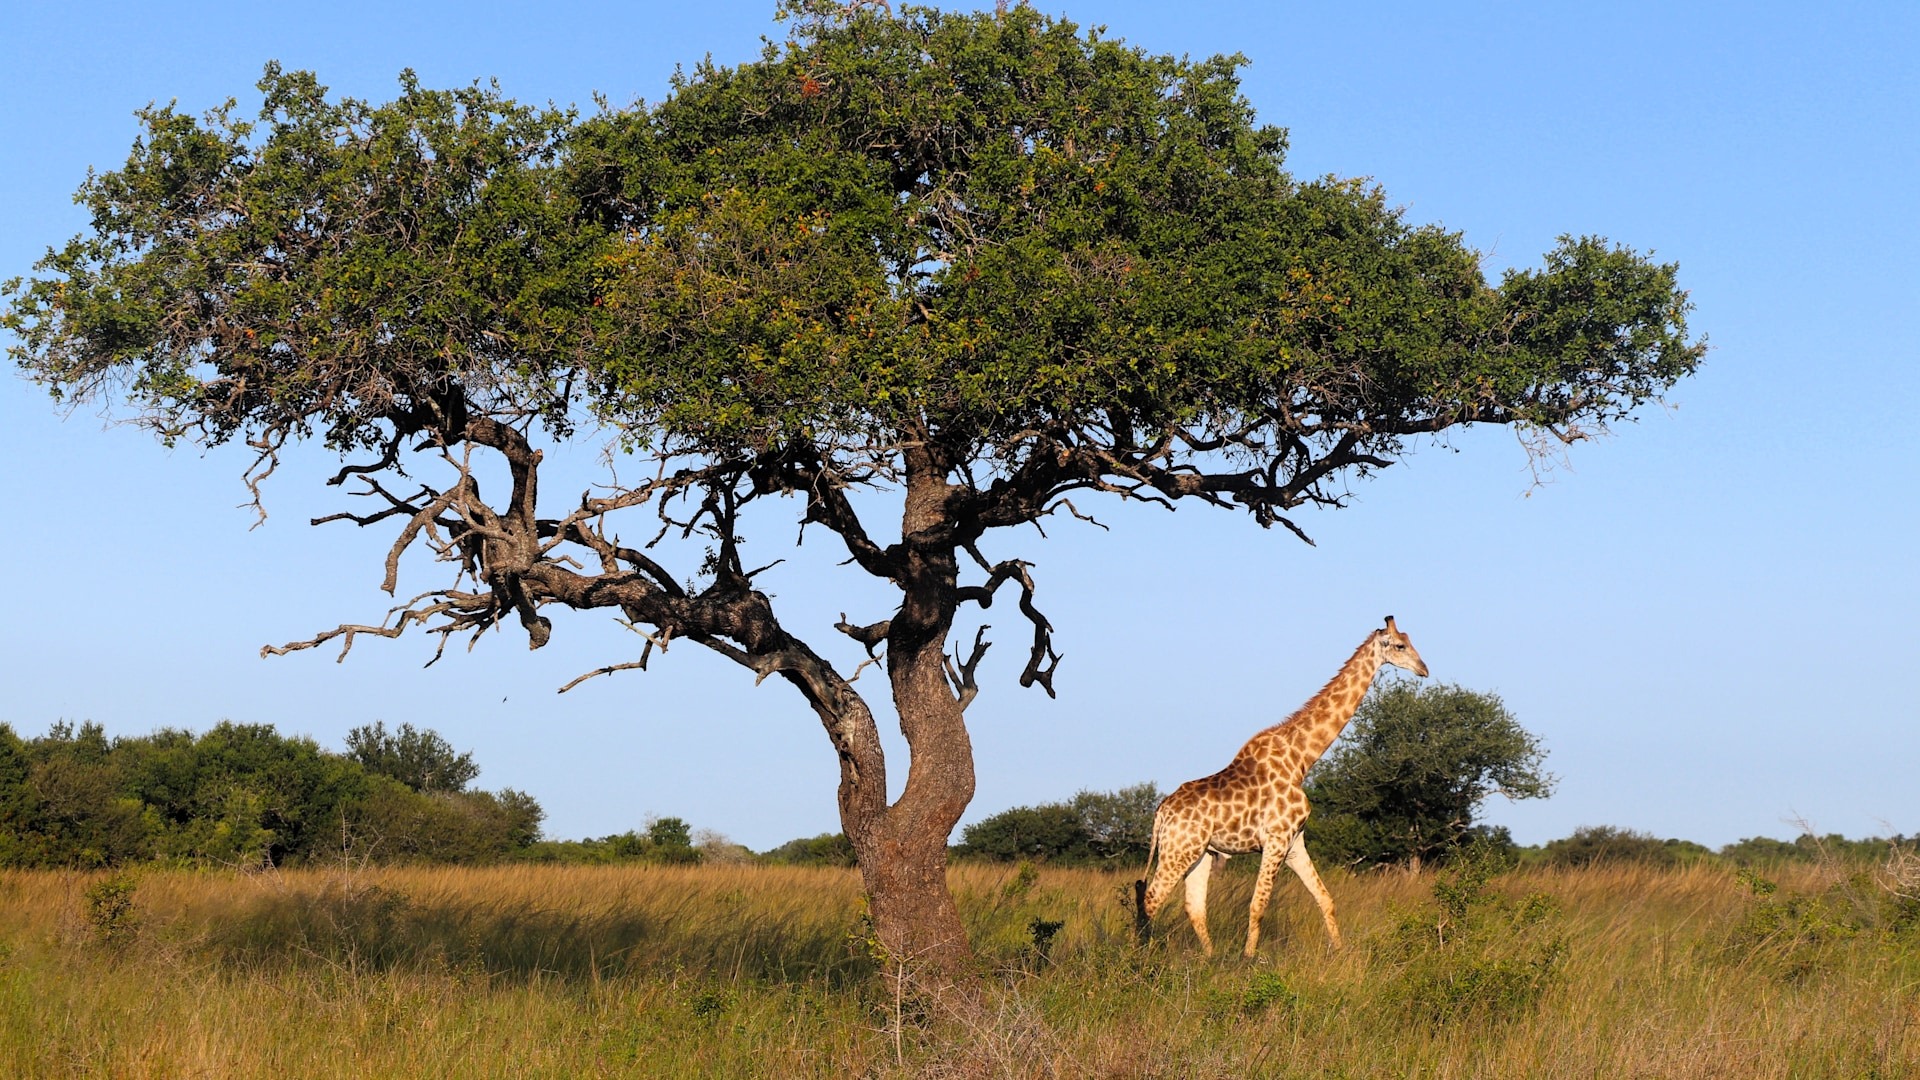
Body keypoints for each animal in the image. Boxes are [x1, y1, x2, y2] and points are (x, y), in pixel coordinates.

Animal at [1134, 617, 1428, 957]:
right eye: (1400, 645)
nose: (1424, 669)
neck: (1301, 759)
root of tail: (1161, 814)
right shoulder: (1275, 840)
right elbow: (1258, 905)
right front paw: (1248, 959)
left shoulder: (1294, 842)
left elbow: (1325, 898)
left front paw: (1339, 952)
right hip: (1178, 850)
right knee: (1150, 900)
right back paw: (1143, 958)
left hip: (1200, 853)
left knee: (1193, 906)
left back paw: (1209, 958)